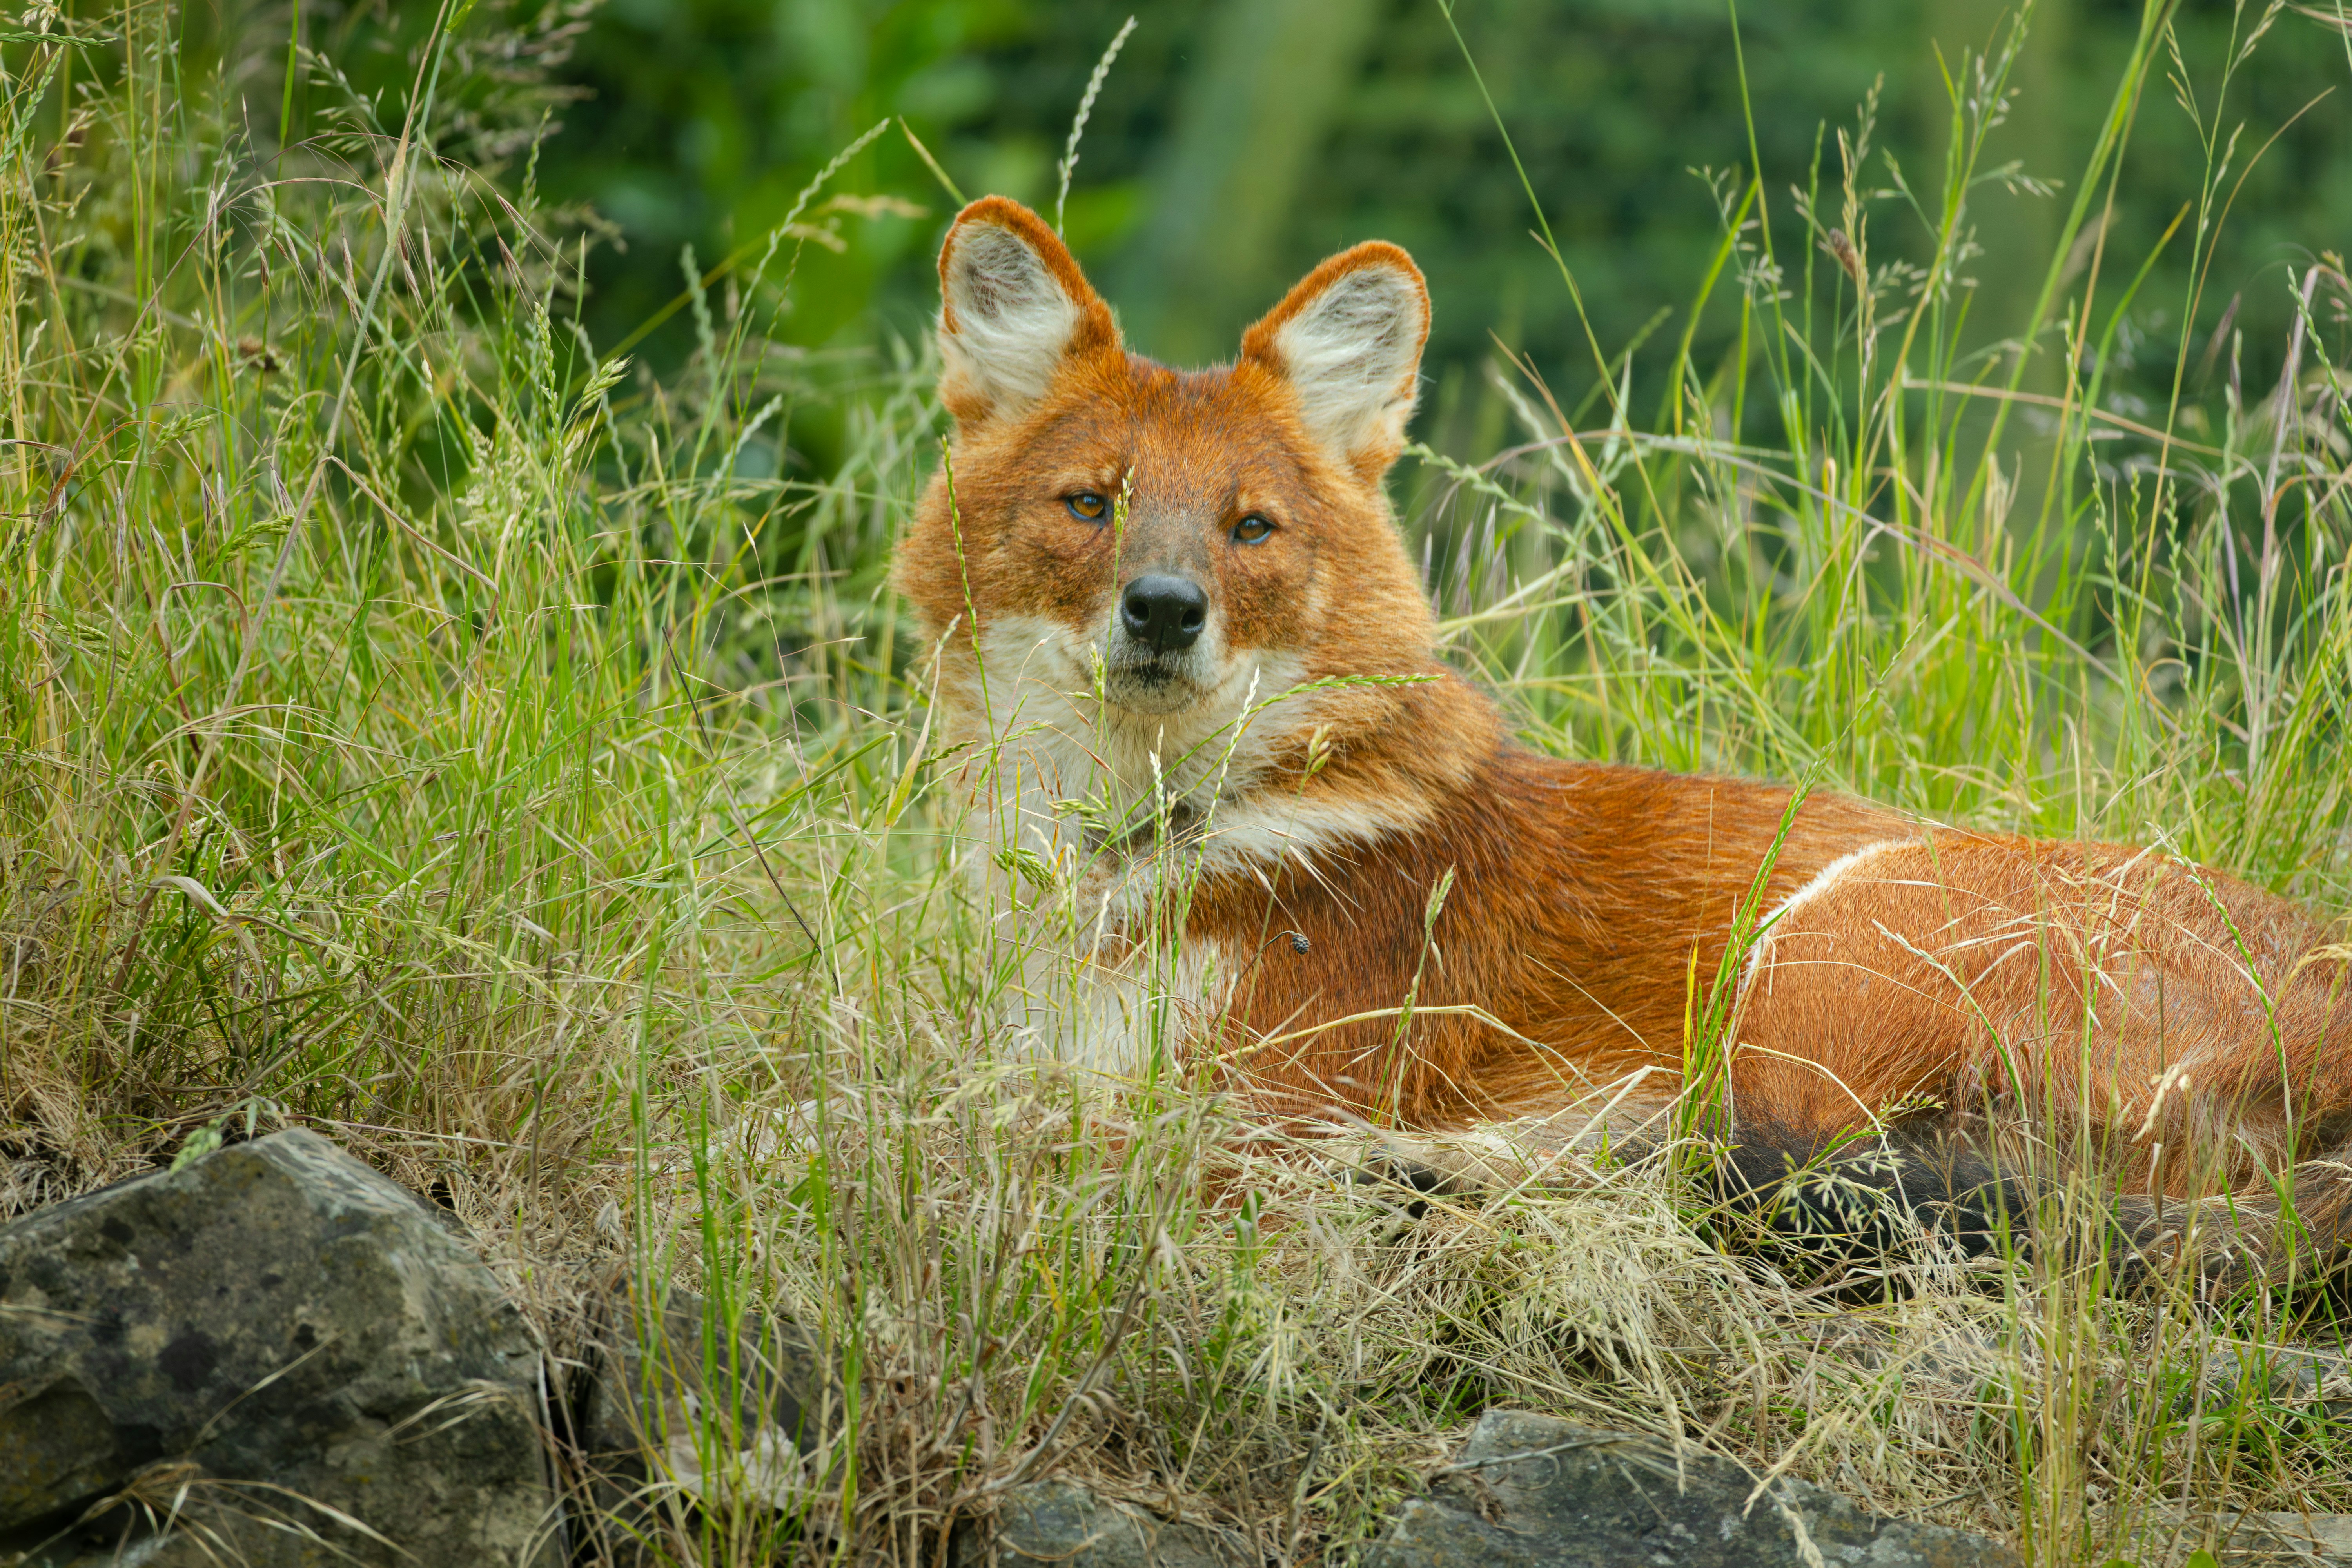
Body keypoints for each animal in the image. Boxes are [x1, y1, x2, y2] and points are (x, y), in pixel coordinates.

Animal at [894, 195, 2352, 1280]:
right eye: (1091, 505)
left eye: (1250, 528)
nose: (1163, 608)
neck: (1122, 839)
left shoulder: (1251, 1094)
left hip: (1818, 948)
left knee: (1770, 1172)